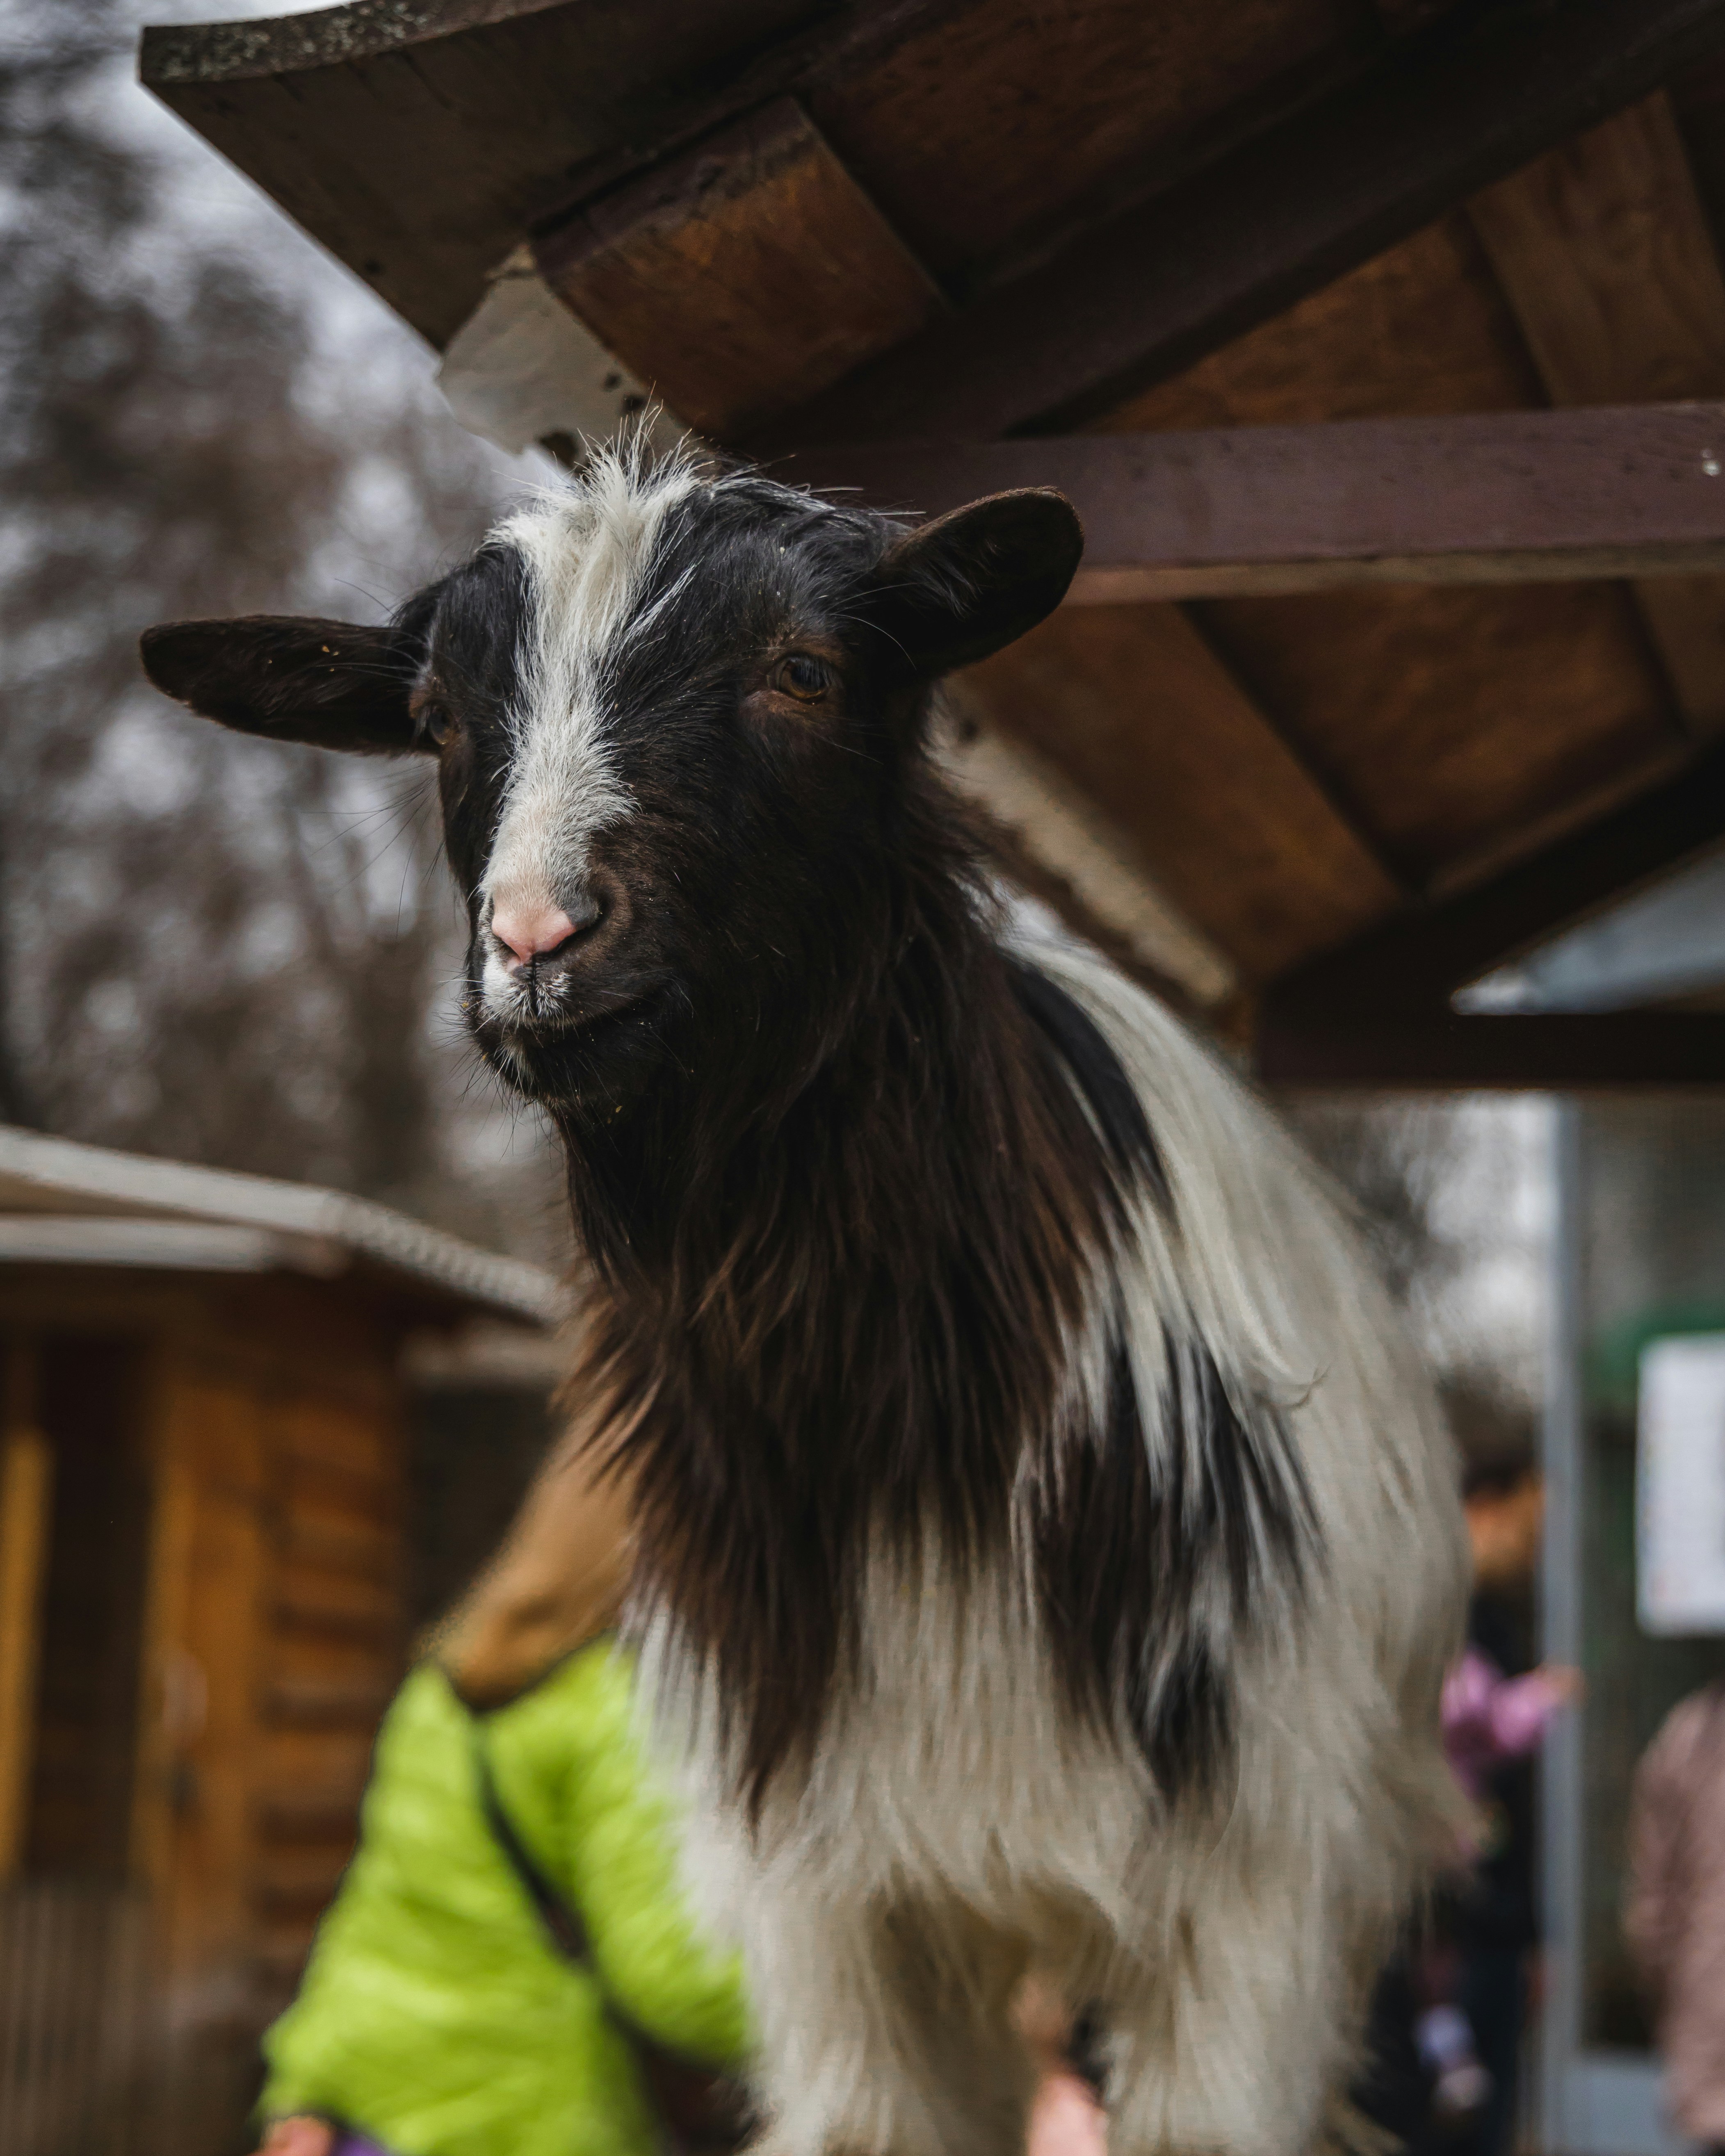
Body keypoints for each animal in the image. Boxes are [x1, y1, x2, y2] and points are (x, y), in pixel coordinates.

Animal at [142, 445, 1467, 2156]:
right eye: (435, 713)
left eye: (804, 670)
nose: (538, 940)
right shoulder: (831, 1905)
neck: (902, 1442)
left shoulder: (1253, 1881)